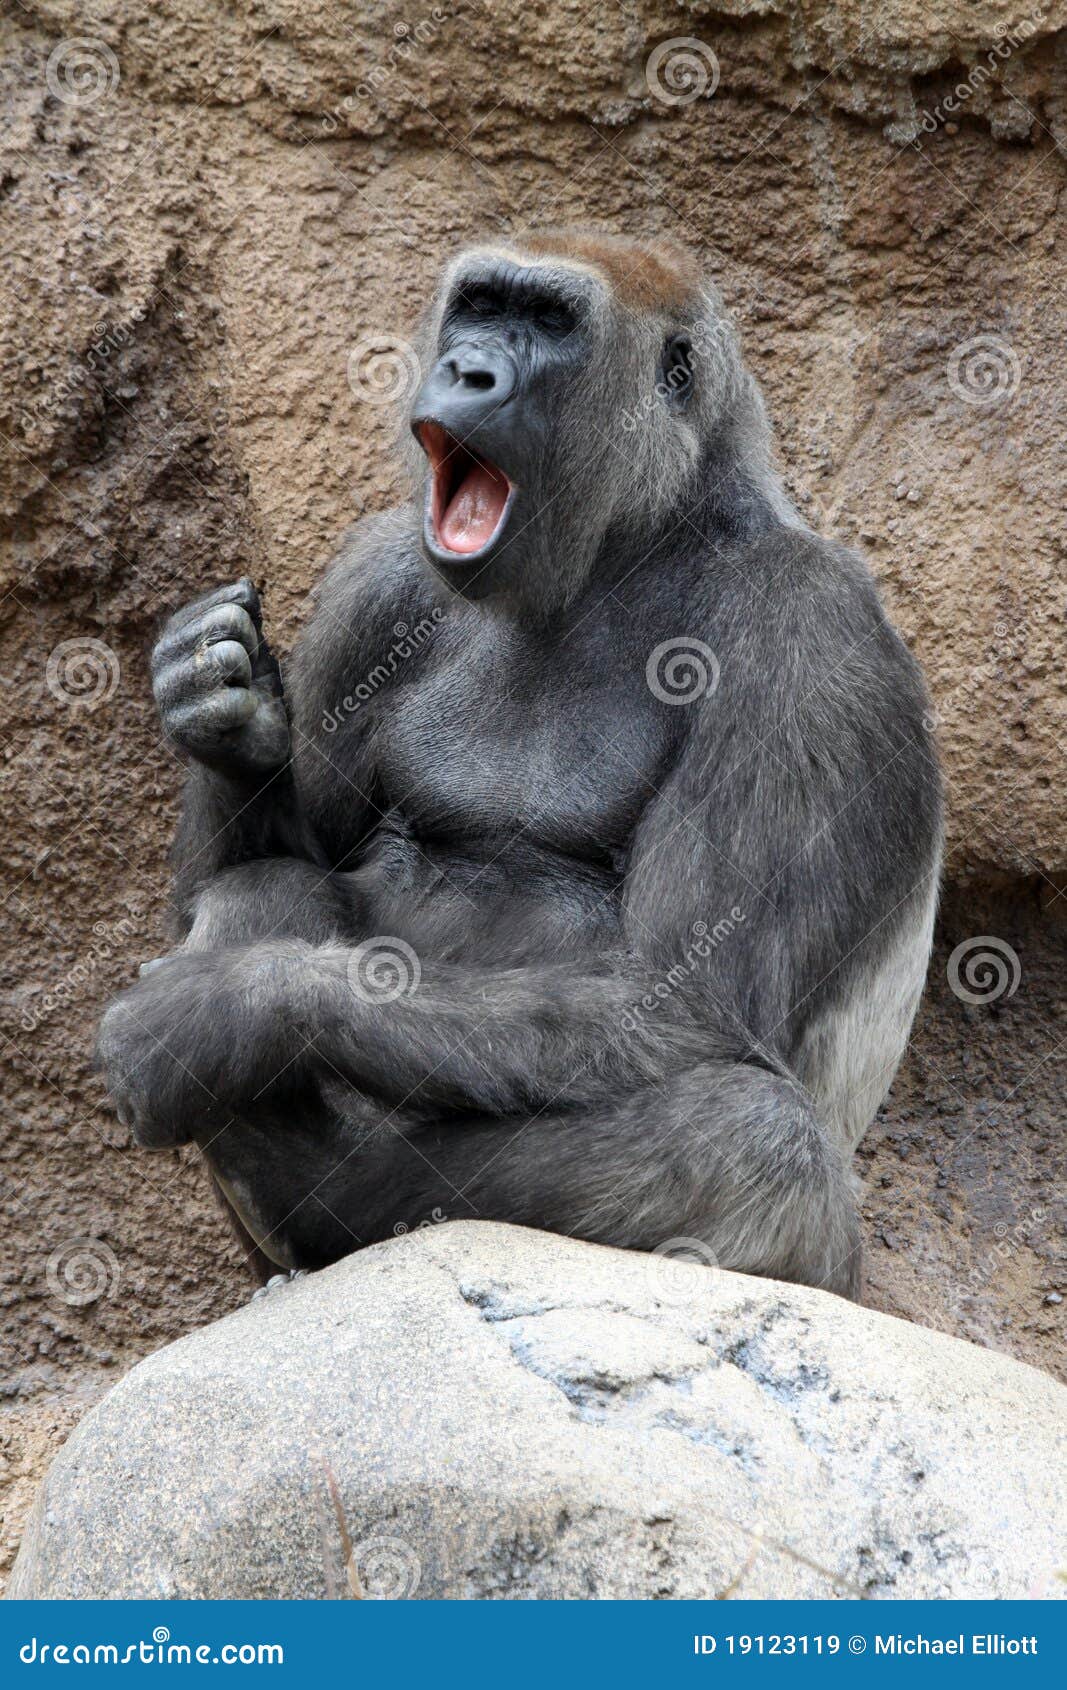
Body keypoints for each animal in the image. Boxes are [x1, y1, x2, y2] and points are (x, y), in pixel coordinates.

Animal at [96, 229, 944, 1299]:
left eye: (548, 322)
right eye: (479, 307)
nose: (467, 369)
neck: (644, 530)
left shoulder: (811, 626)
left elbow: (686, 997)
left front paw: (221, 1013)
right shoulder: (377, 577)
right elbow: (254, 872)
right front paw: (227, 718)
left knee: (757, 1144)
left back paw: (321, 1184)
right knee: (265, 887)